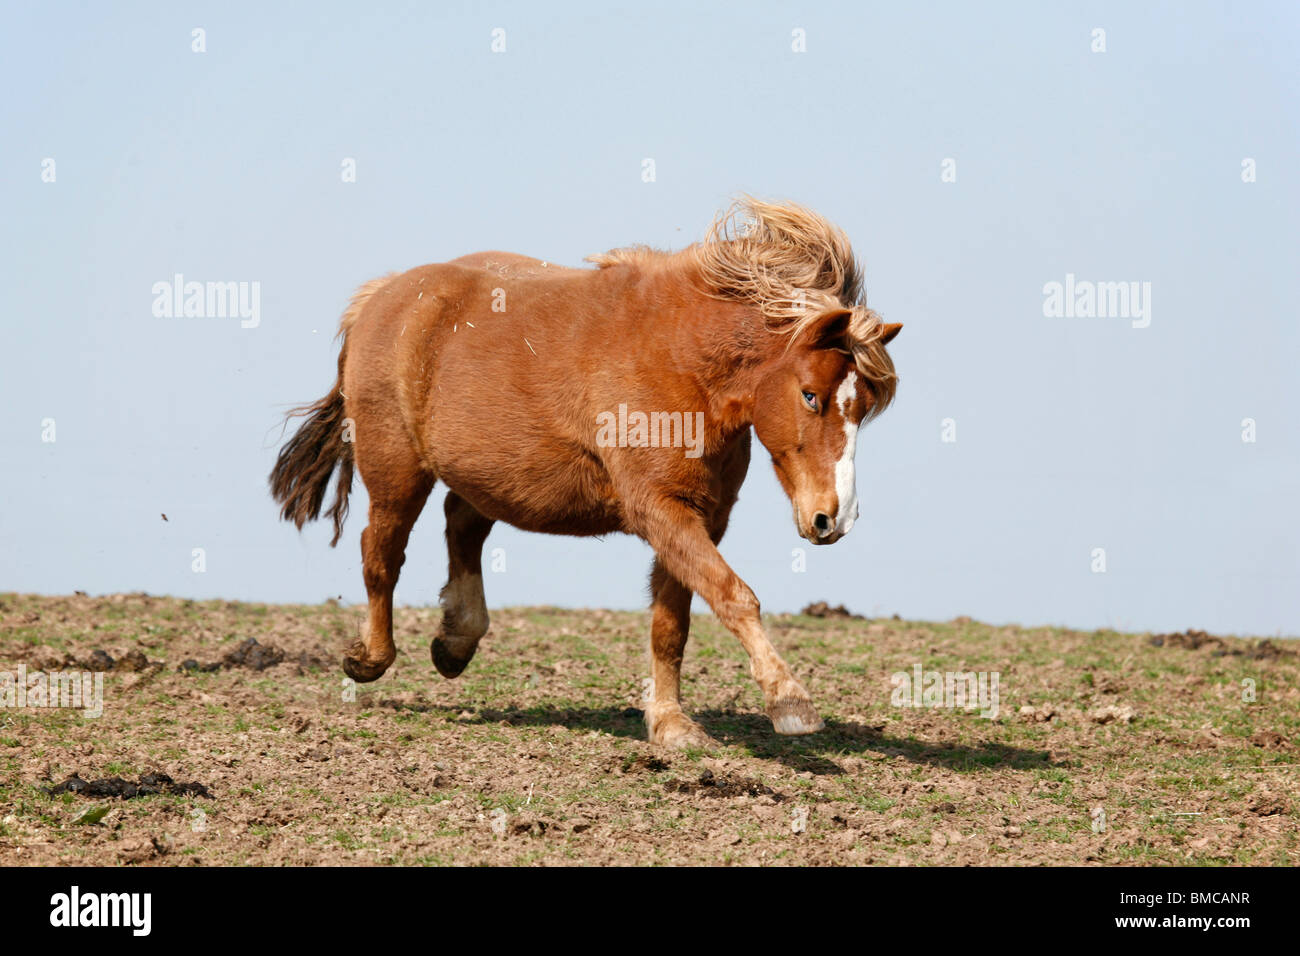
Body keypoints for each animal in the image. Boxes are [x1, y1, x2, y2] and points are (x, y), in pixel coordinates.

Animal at [269, 197, 900, 749]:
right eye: (811, 395)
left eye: (866, 404)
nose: (833, 518)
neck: (680, 360)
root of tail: (384, 296)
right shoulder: (659, 508)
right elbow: (732, 595)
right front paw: (791, 704)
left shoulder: (699, 516)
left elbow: (672, 623)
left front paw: (670, 725)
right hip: (396, 471)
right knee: (383, 552)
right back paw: (369, 658)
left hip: (489, 471)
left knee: (461, 524)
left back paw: (456, 640)